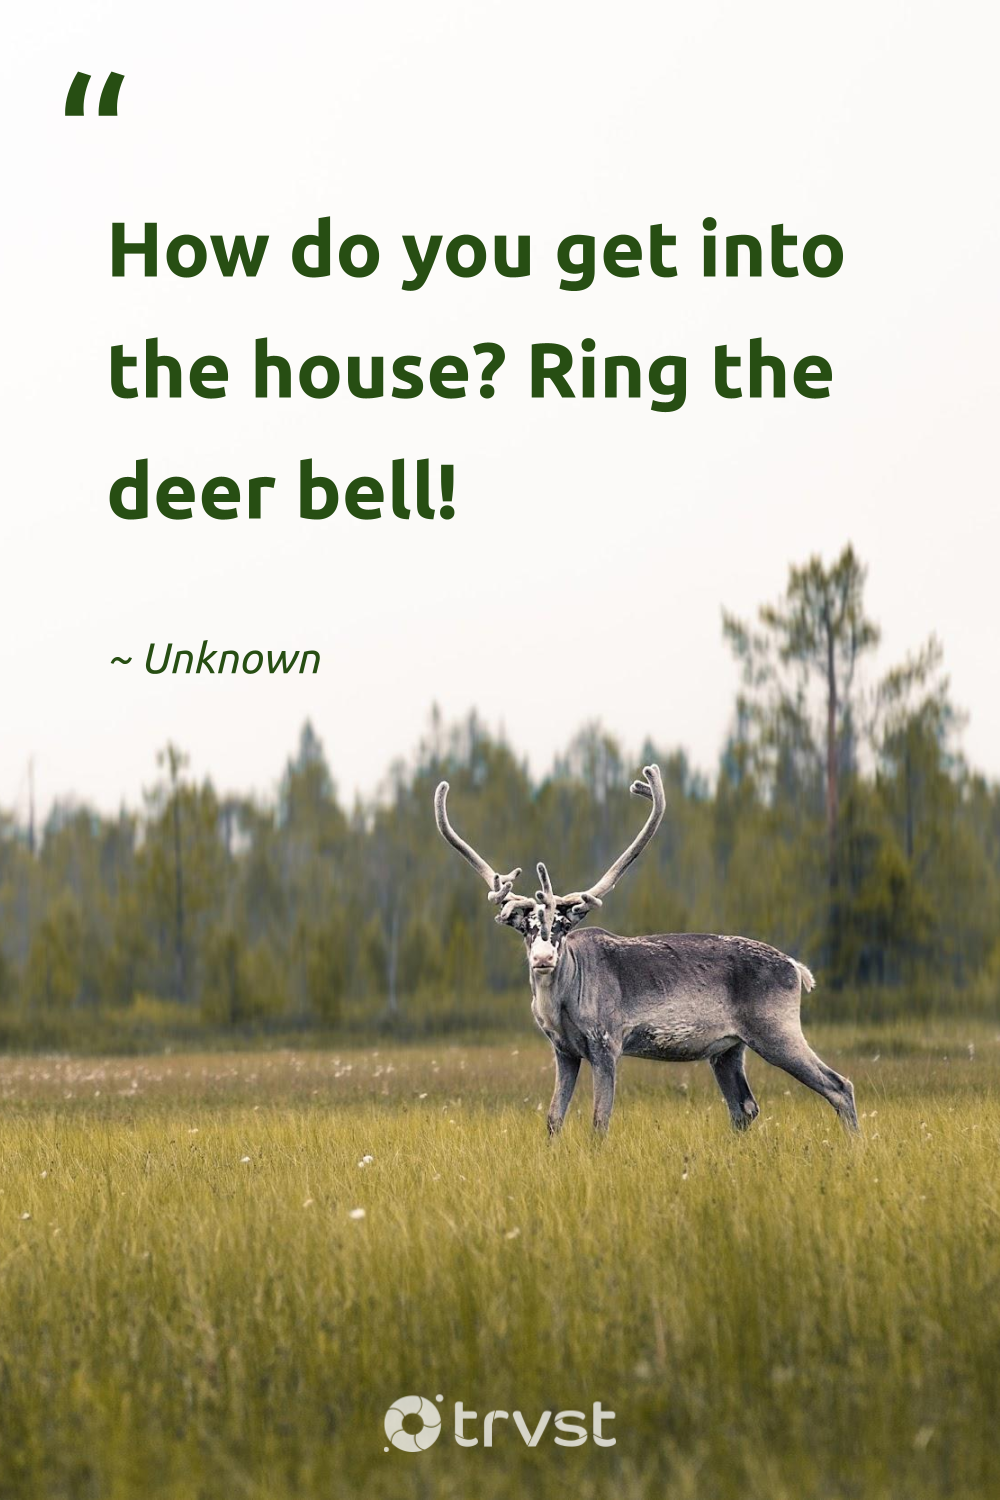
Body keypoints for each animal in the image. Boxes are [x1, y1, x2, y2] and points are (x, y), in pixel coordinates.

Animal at [434, 766, 858, 1135]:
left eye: (563, 927)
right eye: (526, 927)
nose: (543, 958)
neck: (560, 1001)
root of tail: (796, 967)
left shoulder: (607, 1043)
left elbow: (599, 1120)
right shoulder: (563, 1050)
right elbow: (553, 1119)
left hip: (776, 1030)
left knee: (839, 1085)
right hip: (728, 1049)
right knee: (745, 1108)